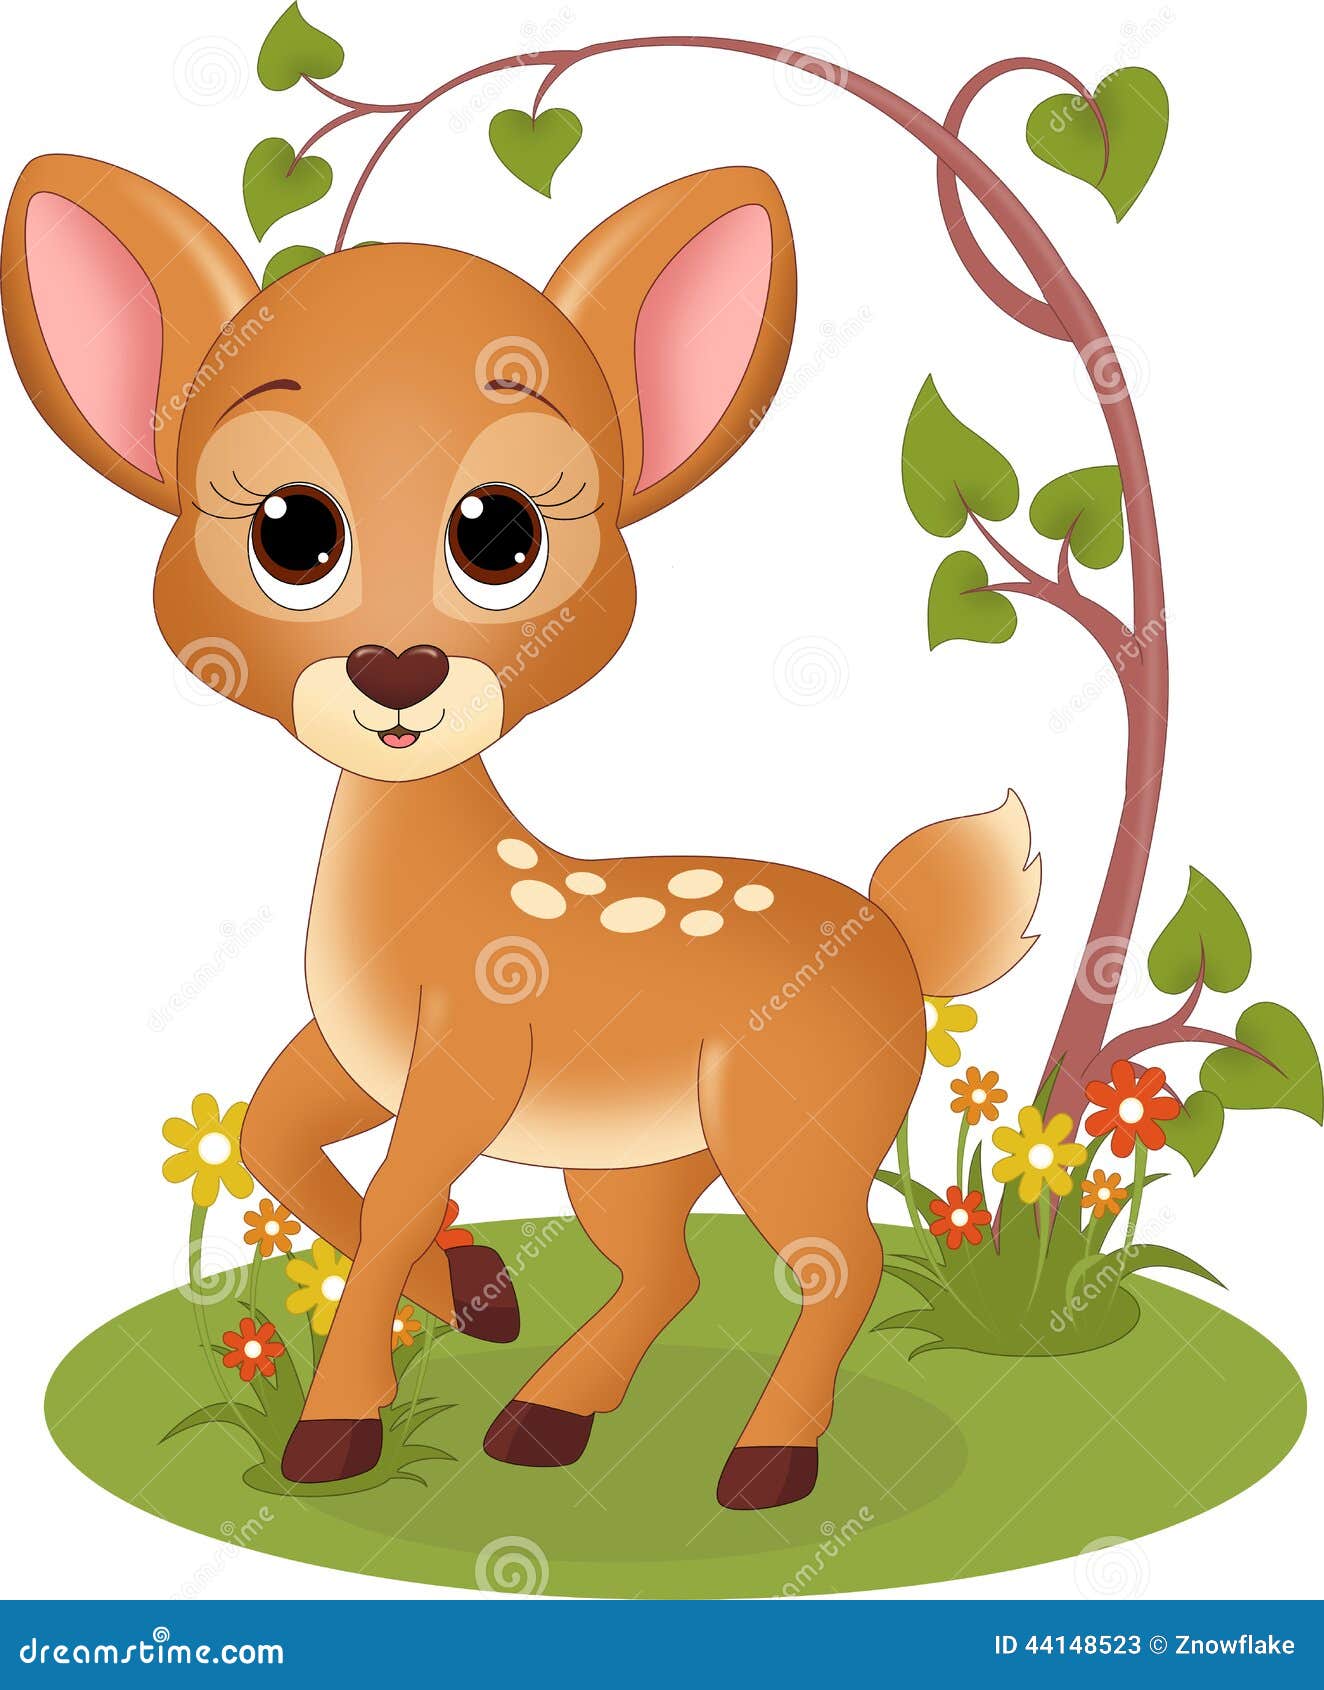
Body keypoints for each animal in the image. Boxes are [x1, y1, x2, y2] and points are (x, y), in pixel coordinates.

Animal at [3, 152, 1039, 1510]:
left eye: (500, 533)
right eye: (290, 529)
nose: (396, 670)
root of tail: (901, 936)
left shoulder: (475, 1045)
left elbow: (397, 1193)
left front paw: (335, 1432)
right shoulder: (359, 1055)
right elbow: (279, 1138)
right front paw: (476, 1297)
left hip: (794, 1115)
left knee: (837, 1260)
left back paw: (764, 1460)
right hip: (632, 1155)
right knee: (670, 1266)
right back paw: (547, 1416)